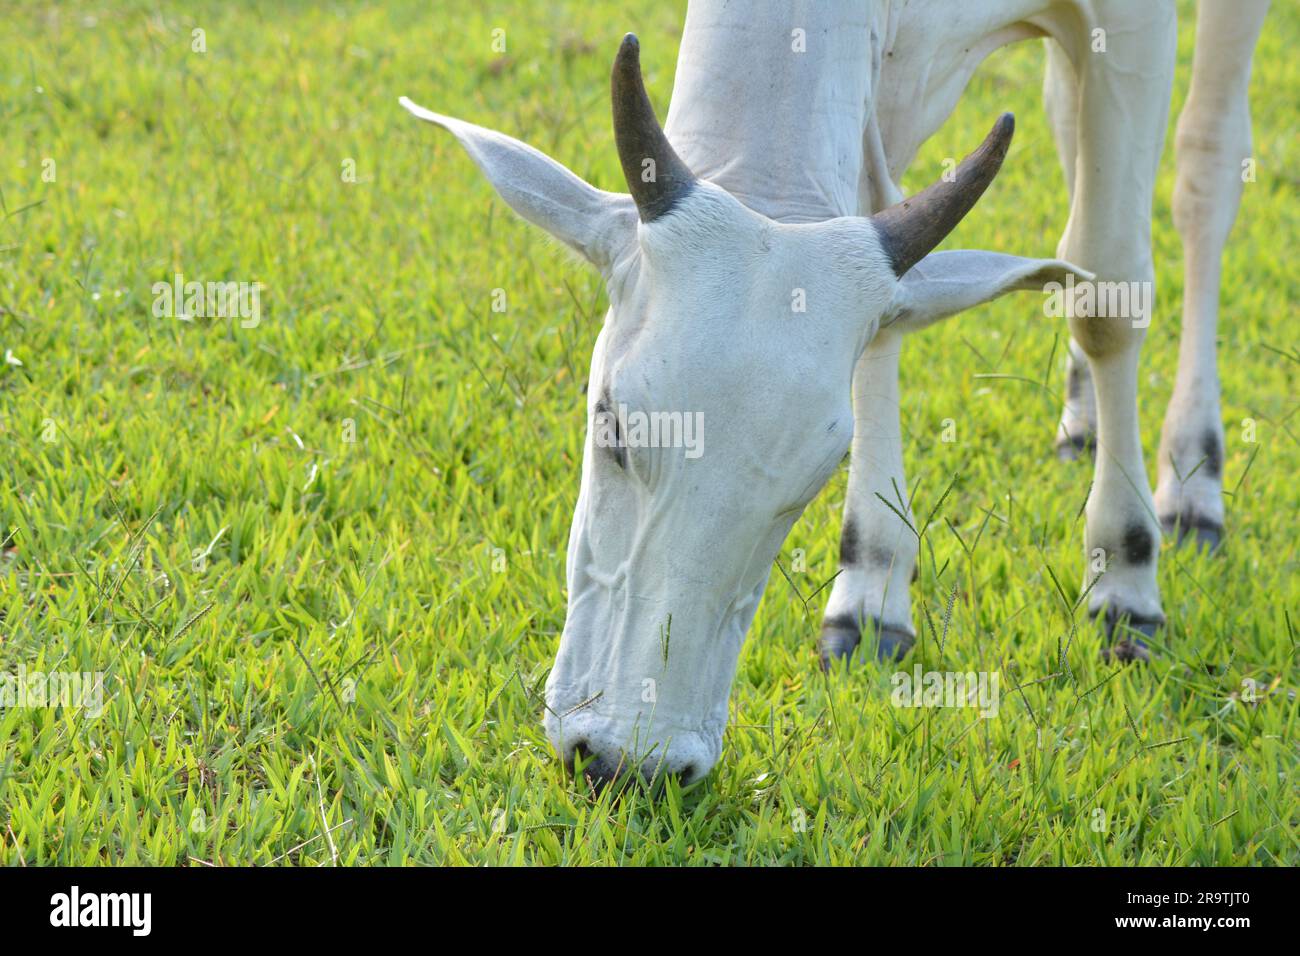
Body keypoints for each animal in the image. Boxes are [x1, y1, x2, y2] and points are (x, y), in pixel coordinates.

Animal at [402, 0, 1268, 785]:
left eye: (811, 480)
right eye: (609, 425)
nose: (629, 763)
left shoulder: (1135, 25)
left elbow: (1107, 289)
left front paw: (1124, 573)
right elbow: (888, 311)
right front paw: (873, 581)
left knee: (1204, 164)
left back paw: (1192, 481)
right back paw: (1082, 416)